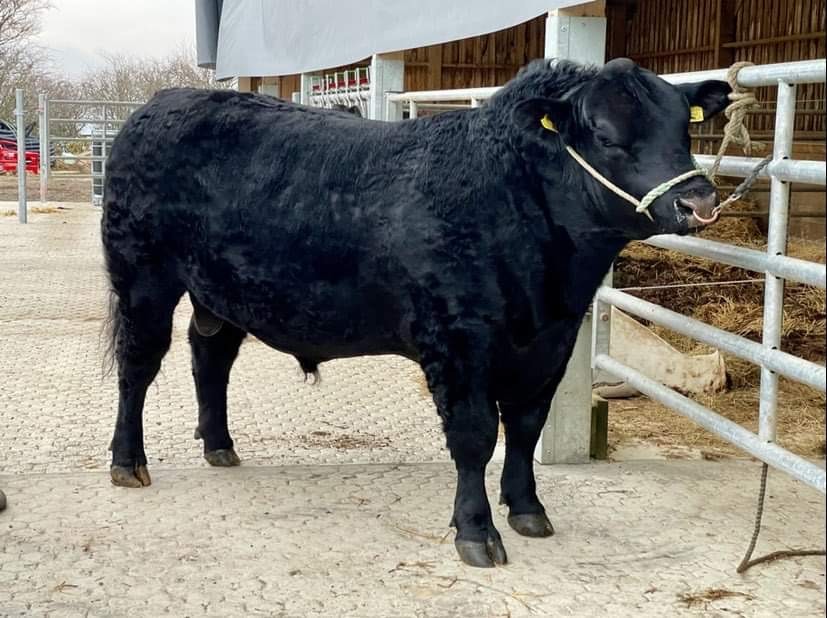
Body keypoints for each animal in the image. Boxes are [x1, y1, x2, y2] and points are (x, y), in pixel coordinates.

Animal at [101, 57, 729, 567]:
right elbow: (476, 435)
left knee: (210, 356)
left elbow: (526, 426)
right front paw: (476, 532)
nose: (697, 200)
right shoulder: (457, 342)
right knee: (138, 365)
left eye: (684, 125)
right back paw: (129, 461)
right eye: (603, 132)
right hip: (142, 277)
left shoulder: (552, 343)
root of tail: (161, 103)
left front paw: (528, 509)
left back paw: (219, 445)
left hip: (222, 293)